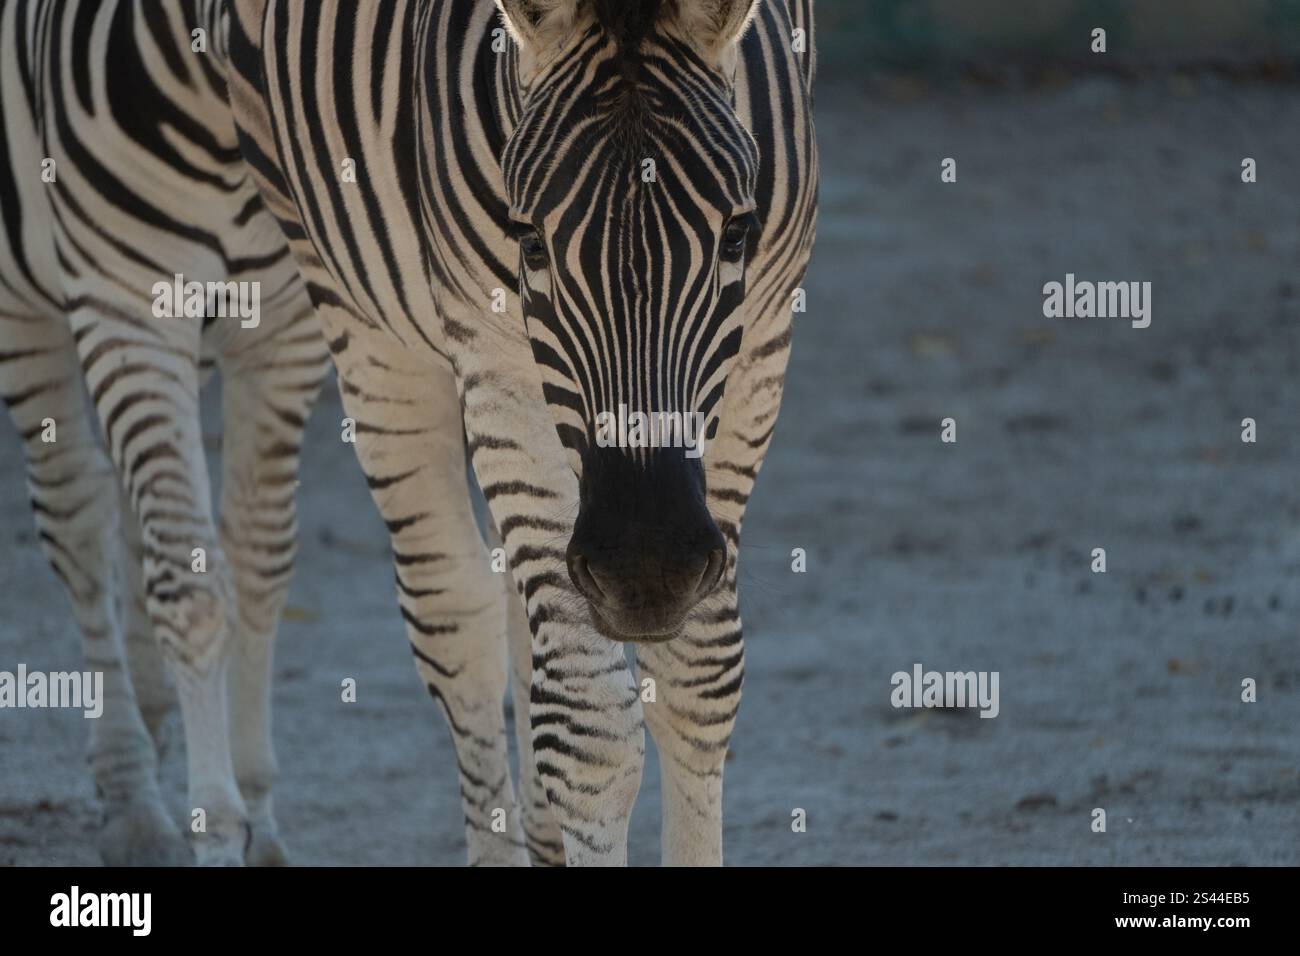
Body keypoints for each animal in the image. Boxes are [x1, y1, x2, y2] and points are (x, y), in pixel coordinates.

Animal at [0, 0, 329, 864]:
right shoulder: (127, 307)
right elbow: (192, 585)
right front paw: (215, 818)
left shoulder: (286, 332)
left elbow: (259, 568)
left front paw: (259, 813)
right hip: (26, 302)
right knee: (77, 524)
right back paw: (132, 798)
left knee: (126, 516)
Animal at [226, 0, 817, 865]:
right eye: (531, 241)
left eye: (737, 234)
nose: (647, 572)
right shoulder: (494, 352)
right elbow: (589, 728)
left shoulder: (764, 343)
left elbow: (699, 683)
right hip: (354, 301)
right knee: (455, 614)